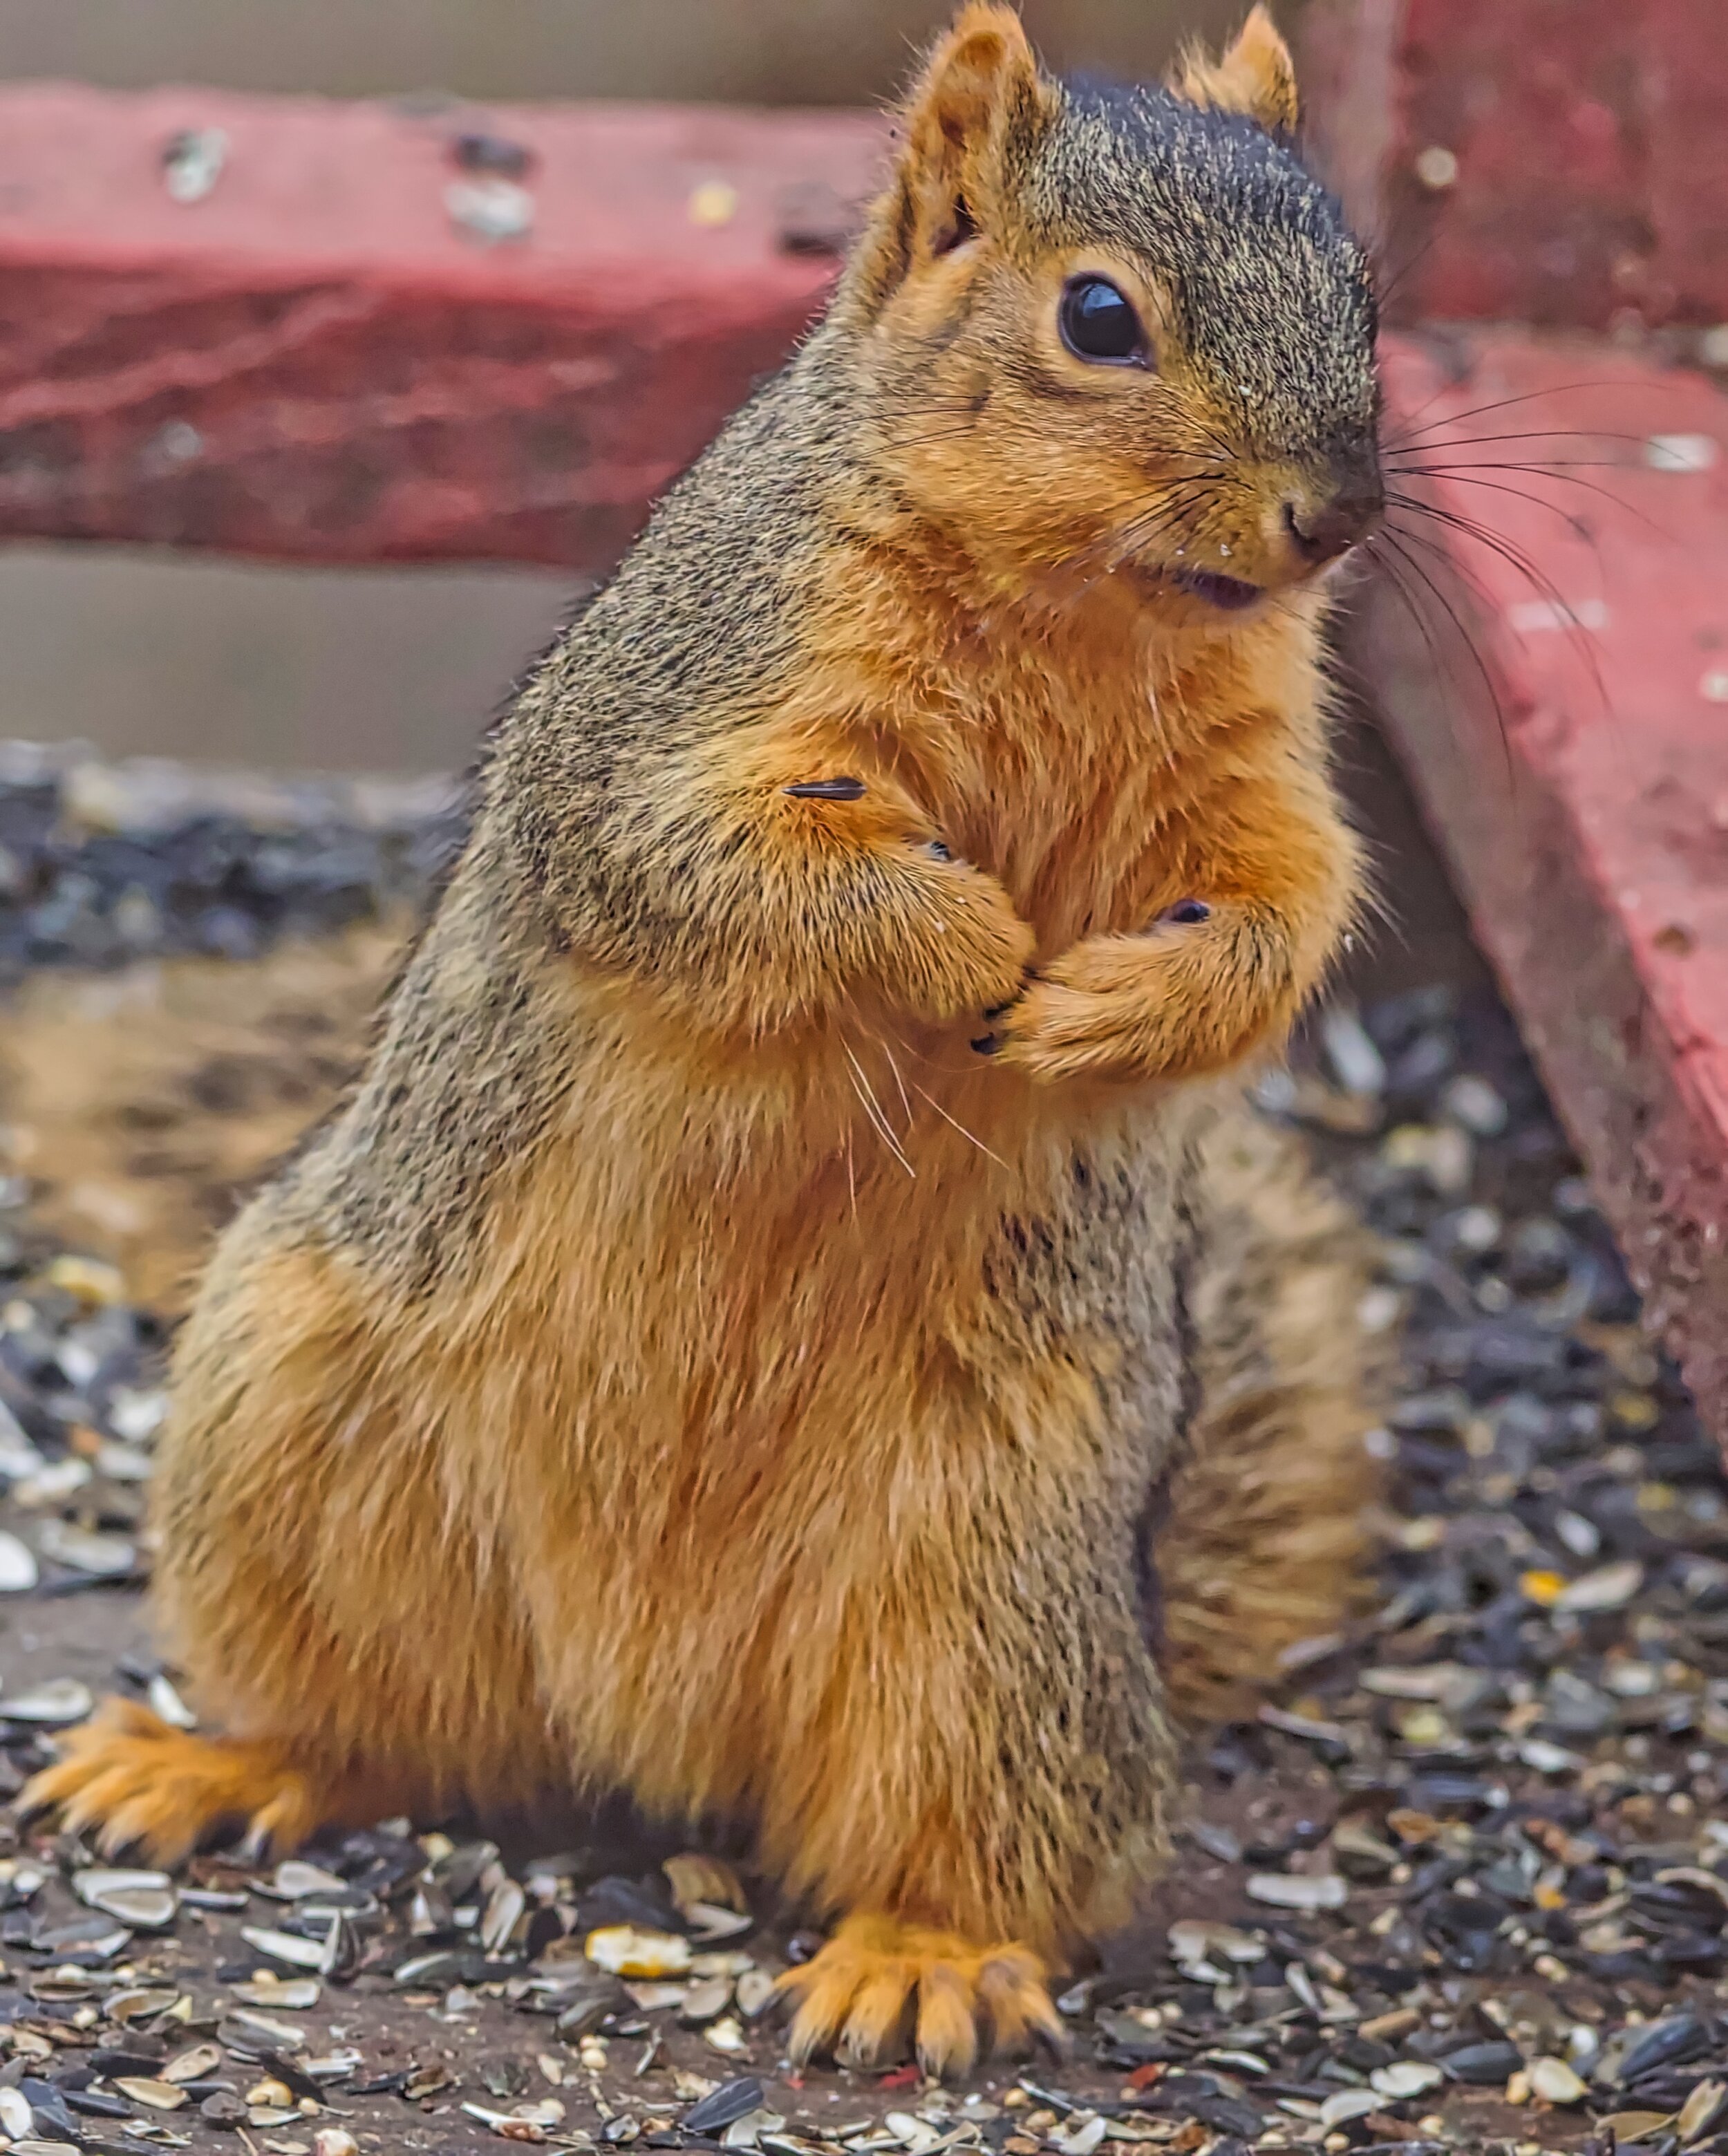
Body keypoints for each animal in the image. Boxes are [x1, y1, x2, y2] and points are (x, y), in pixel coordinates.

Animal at [25, 2, 1385, 2077]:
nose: (1337, 517)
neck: (1090, 608)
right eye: (1097, 316)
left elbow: (1276, 927)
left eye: (1367, 285)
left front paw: (1098, 1002)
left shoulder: (1264, 783)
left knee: (995, 1845)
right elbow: (721, 865)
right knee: (378, 1729)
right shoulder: (680, 714)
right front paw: (968, 936)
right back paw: (209, 1763)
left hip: (990, 1603)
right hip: (291, 1433)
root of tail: (648, 1721)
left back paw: (927, 1952)